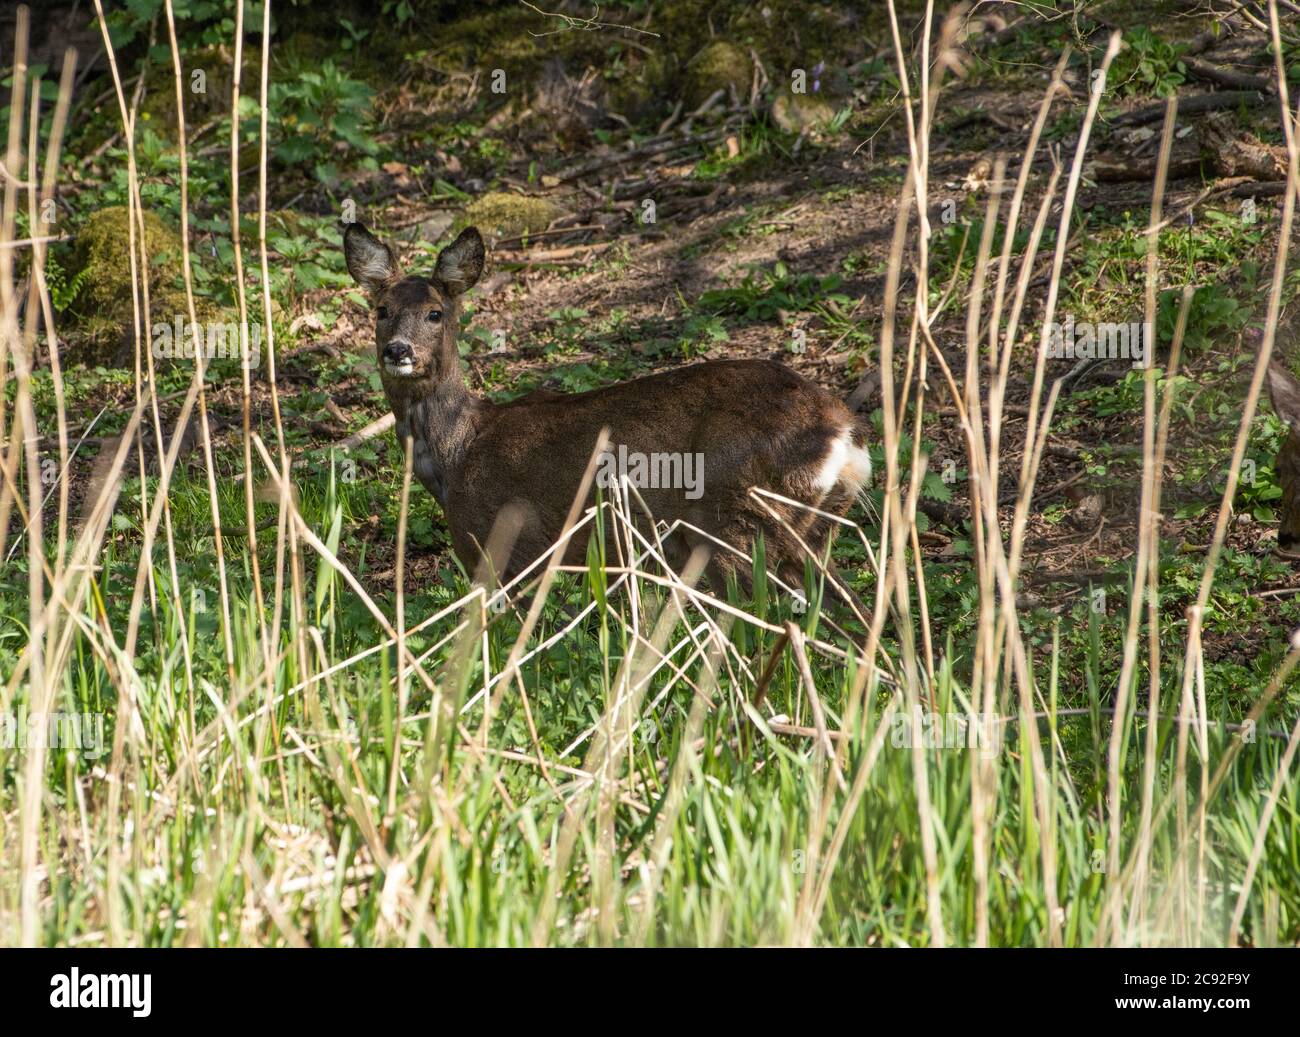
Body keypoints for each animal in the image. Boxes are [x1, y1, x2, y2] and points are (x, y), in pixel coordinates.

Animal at [343, 221, 872, 594]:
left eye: (435, 313)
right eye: (381, 310)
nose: (398, 350)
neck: (458, 451)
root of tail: (845, 434)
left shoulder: (509, 545)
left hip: (733, 519)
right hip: (803, 532)